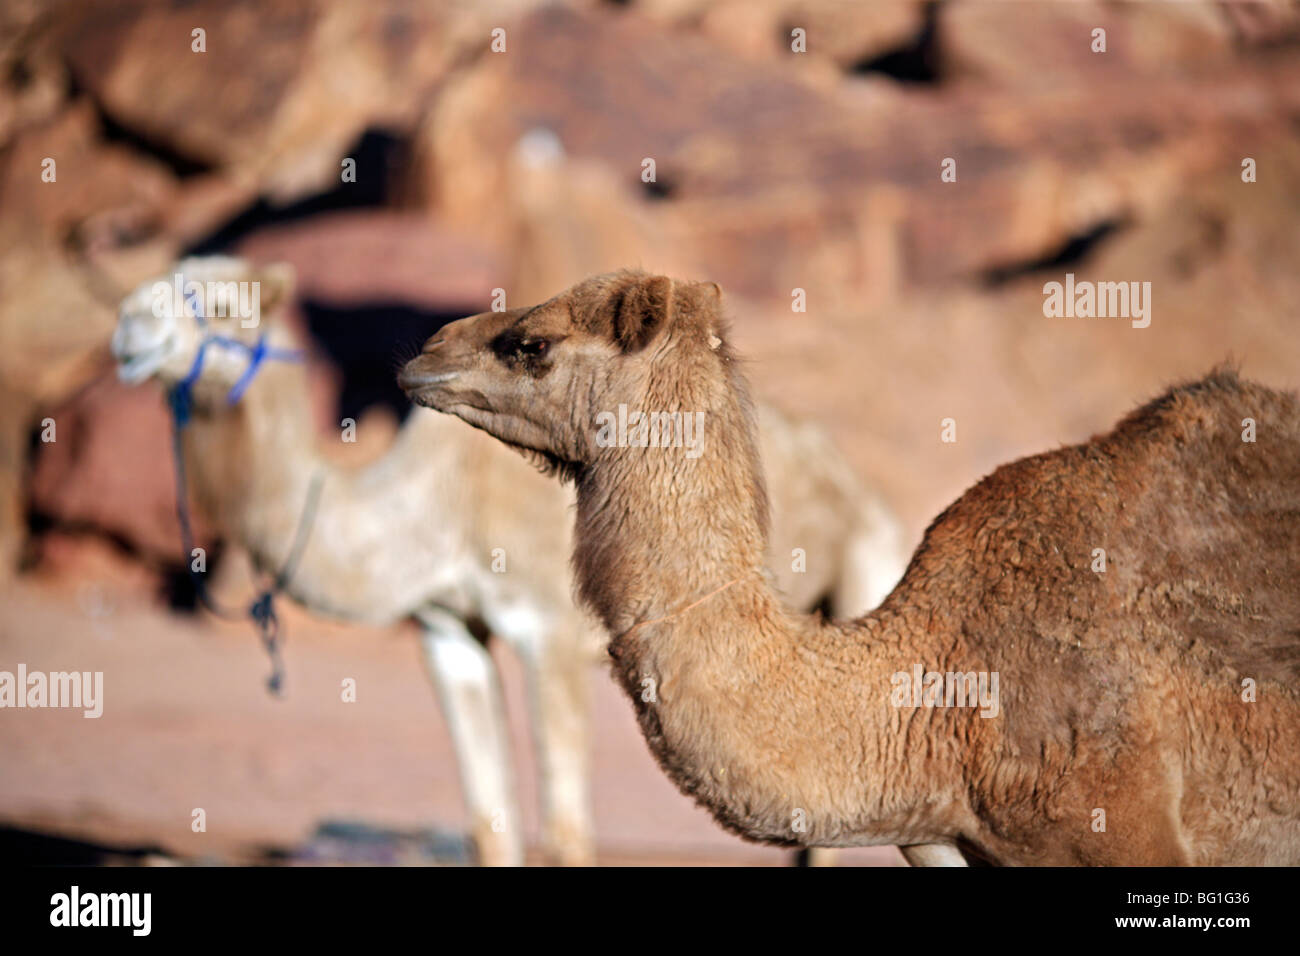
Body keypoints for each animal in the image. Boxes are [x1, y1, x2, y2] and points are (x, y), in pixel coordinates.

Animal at [112, 257, 911, 865]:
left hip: (870, 570)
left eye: (223, 305)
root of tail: (853, 481)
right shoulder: (445, 629)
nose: (127, 331)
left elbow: (564, 833)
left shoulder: (548, 632)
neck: (434, 505)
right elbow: (489, 822)